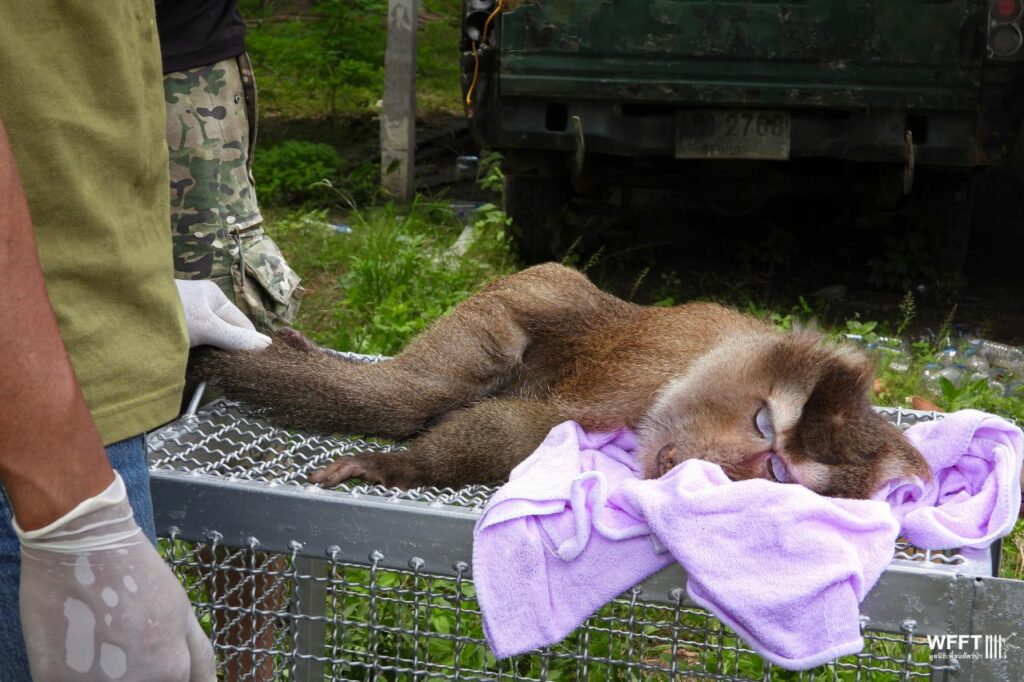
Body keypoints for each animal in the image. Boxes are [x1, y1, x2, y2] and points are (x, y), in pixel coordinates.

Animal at [190, 263, 929, 499]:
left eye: (776, 473)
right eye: (762, 424)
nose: (725, 463)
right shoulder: (665, 372)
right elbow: (538, 427)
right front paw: (398, 468)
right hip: (530, 288)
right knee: (413, 396)